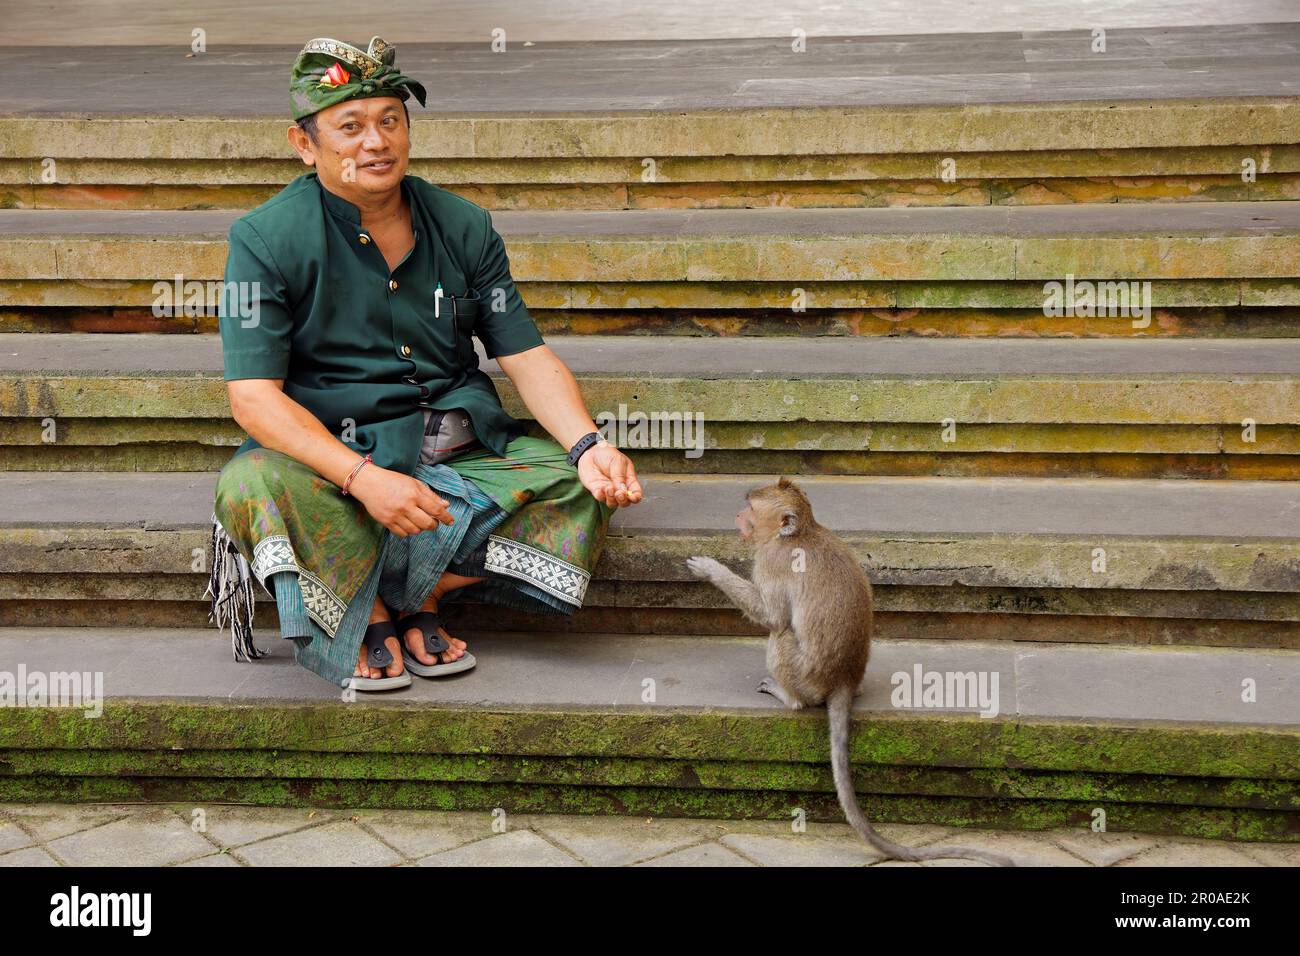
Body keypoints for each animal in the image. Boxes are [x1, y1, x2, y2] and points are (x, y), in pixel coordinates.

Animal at [686, 476, 1015, 867]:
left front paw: (710, 569)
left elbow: (772, 616)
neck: (800, 533)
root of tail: (843, 678)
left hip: (803, 673)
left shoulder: (772, 560)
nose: (737, 515)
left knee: (781, 636)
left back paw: (787, 696)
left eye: (750, 508)